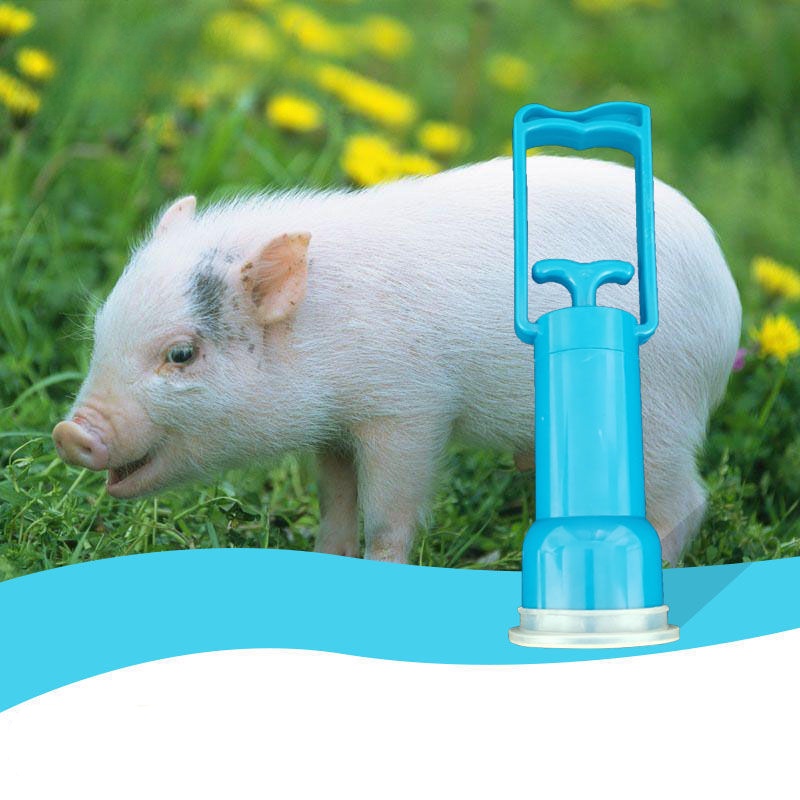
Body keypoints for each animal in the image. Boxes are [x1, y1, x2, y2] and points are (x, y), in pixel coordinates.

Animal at [52, 156, 741, 564]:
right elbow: (336, 508)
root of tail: (727, 300)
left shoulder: (409, 410)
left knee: (686, 502)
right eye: (101, 331)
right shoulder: (334, 429)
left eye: (181, 354)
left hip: (661, 415)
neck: (320, 335)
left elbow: (388, 519)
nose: (69, 432)